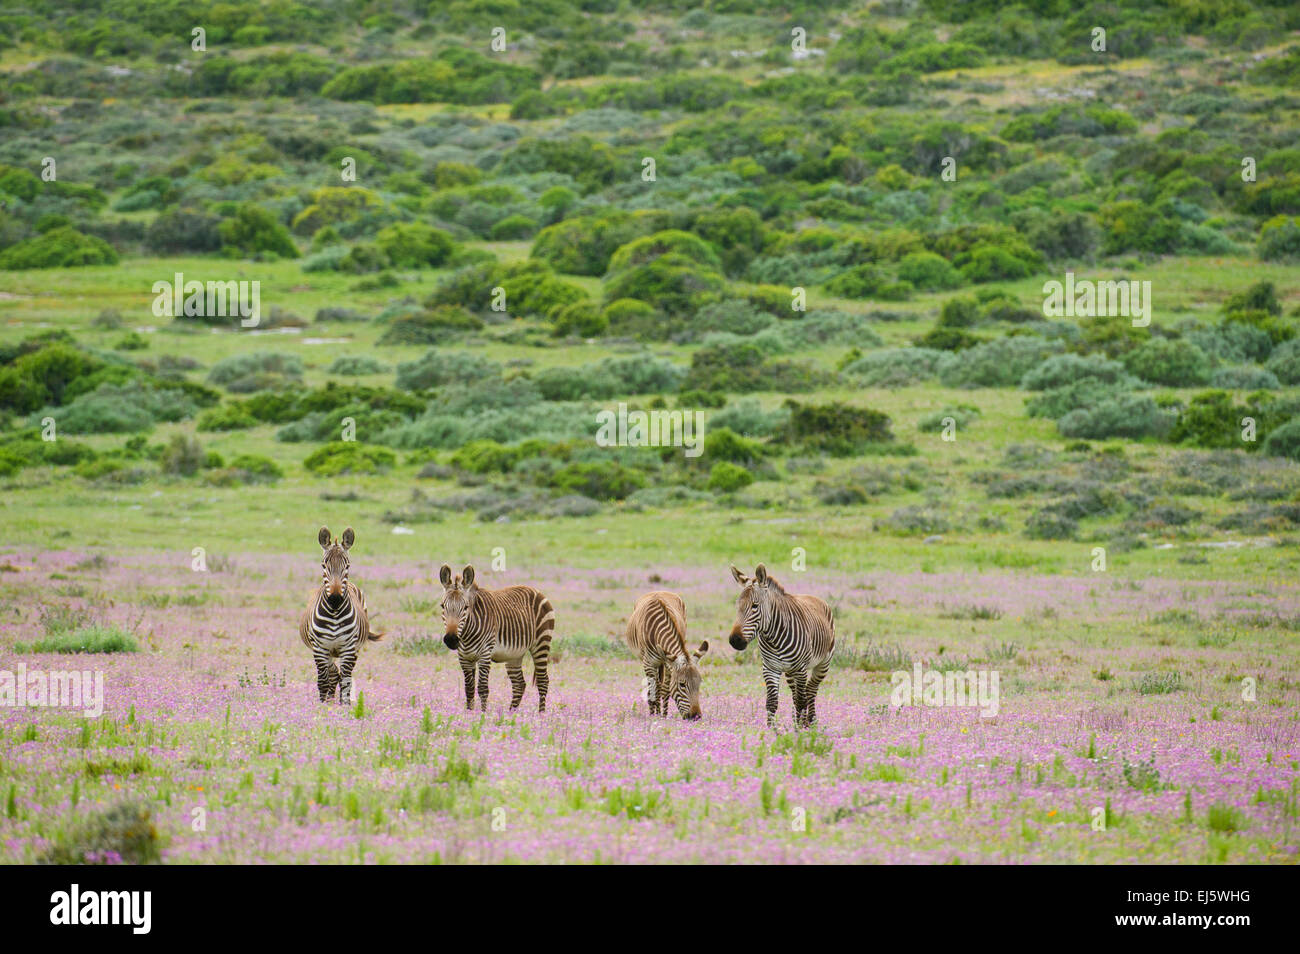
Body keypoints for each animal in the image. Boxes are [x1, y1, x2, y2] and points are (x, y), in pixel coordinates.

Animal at [299, 526, 383, 704]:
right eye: (323, 565)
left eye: (347, 566)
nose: (335, 599)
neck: (335, 613)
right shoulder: (320, 648)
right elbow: (323, 681)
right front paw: (323, 707)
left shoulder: (348, 648)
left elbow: (346, 681)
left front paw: (345, 708)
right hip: (329, 652)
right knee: (332, 675)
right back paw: (330, 701)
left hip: (353, 650)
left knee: (339, 676)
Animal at [439, 564, 554, 713]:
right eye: (442, 606)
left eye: (465, 607)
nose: (451, 640)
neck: (466, 636)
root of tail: (535, 590)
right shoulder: (464, 658)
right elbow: (469, 689)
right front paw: (469, 714)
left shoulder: (485, 655)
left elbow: (482, 689)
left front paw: (482, 715)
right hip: (514, 655)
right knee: (519, 684)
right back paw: (512, 714)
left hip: (541, 643)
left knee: (542, 681)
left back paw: (541, 715)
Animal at [622, 591, 708, 720]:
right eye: (682, 684)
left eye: (699, 682)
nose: (696, 717)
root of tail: (659, 591)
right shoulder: (648, 663)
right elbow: (654, 690)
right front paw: (655, 716)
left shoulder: (669, 665)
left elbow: (665, 690)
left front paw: (663, 716)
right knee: (653, 688)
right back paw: (653, 711)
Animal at [727, 564, 835, 728]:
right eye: (737, 606)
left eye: (754, 606)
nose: (735, 640)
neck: (774, 639)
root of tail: (814, 597)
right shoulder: (770, 668)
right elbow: (772, 702)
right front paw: (772, 730)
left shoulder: (801, 669)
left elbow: (801, 701)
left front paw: (799, 731)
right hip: (789, 672)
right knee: (796, 693)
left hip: (823, 664)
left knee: (810, 691)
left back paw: (810, 722)